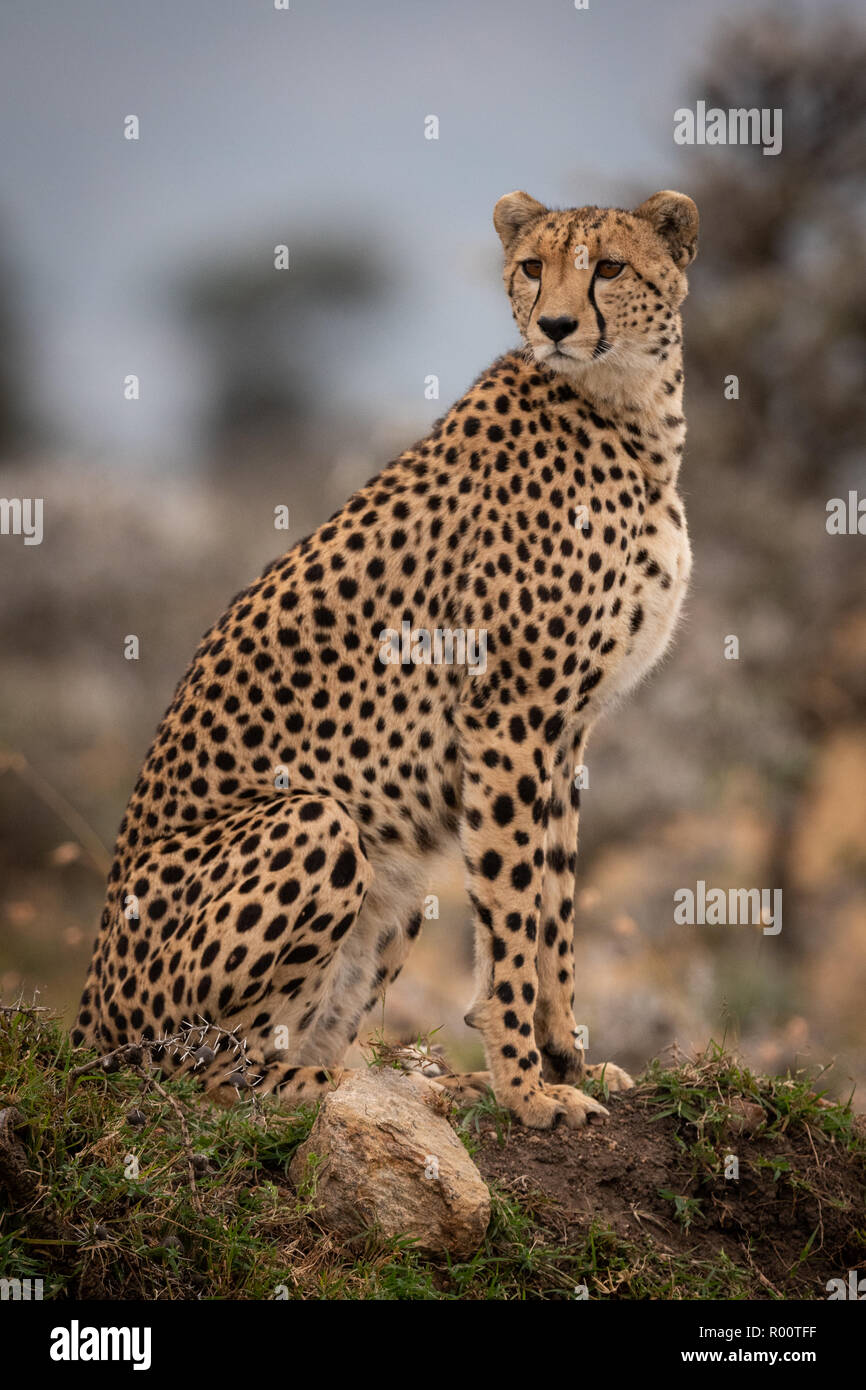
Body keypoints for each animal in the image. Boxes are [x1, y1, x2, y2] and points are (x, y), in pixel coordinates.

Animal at [73, 188, 698, 1130]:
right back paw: (381, 1086)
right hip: (317, 826)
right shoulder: (509, 715)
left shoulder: (566, 728)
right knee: (205, 1080)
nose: (554, 324)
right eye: (532, 267)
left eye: (611, 268)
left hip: (393, 890)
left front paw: (567, 1056)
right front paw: (526, 1089)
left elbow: (555, 901)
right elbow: (513, 908)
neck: (628, 409)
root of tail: (79, 1026)